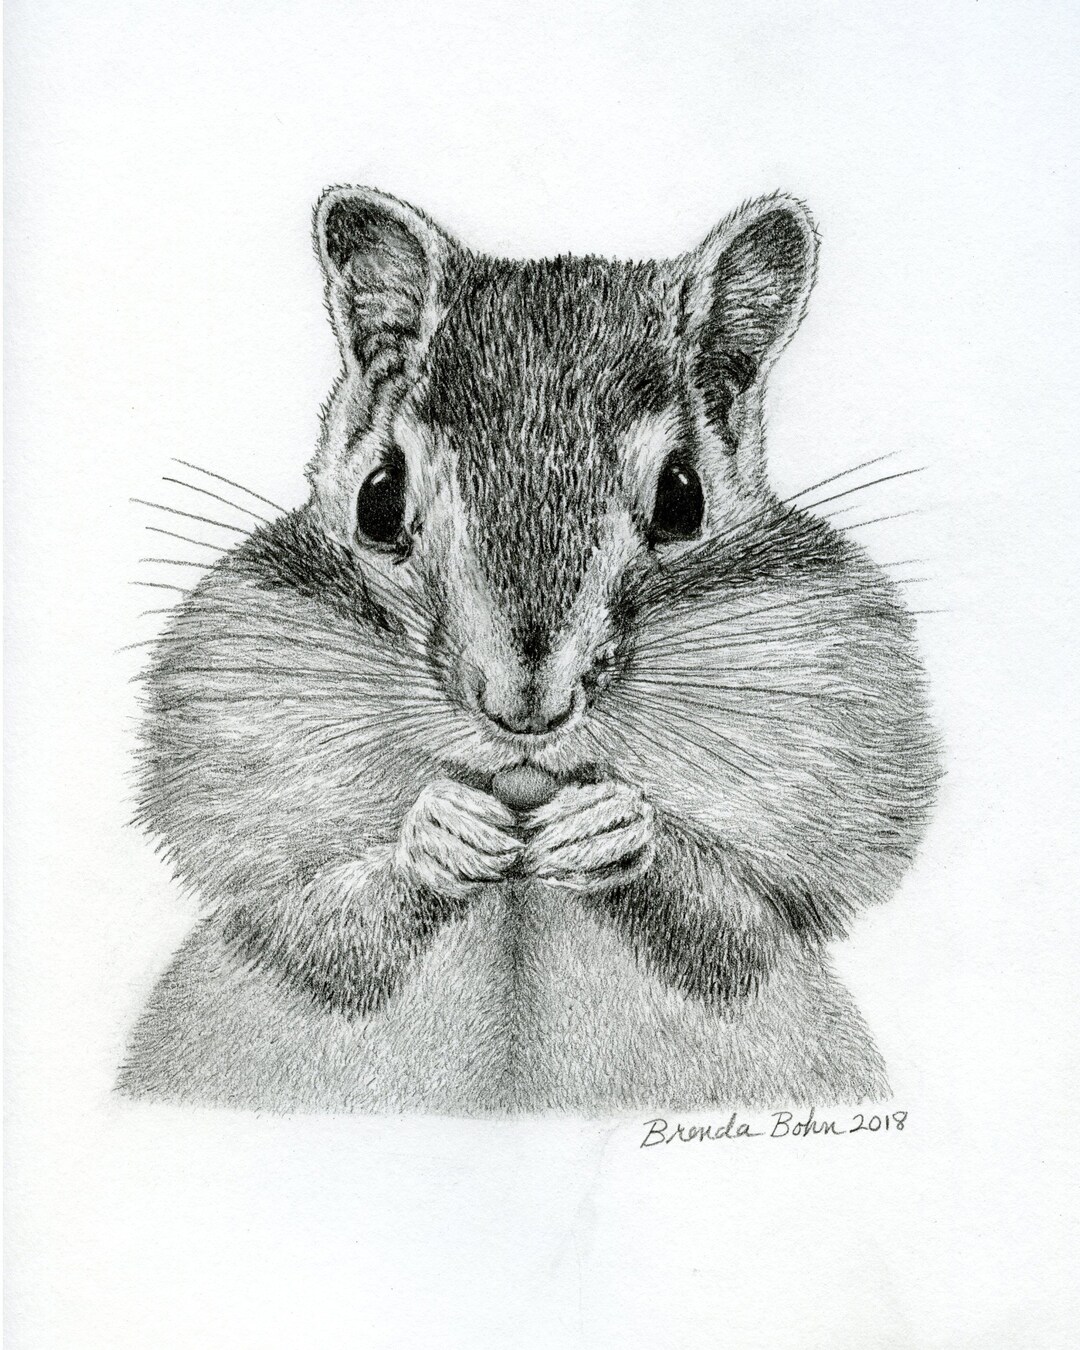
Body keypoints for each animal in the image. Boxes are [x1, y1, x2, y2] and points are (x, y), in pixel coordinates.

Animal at [117, 186, 941, 1113]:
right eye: (377, 499)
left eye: (683, 498)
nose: (526, 712)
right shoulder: (228, 720)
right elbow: (313, 914)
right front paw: (440, 833)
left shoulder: (847, 720)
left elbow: (738, 914)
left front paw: (611, 827)